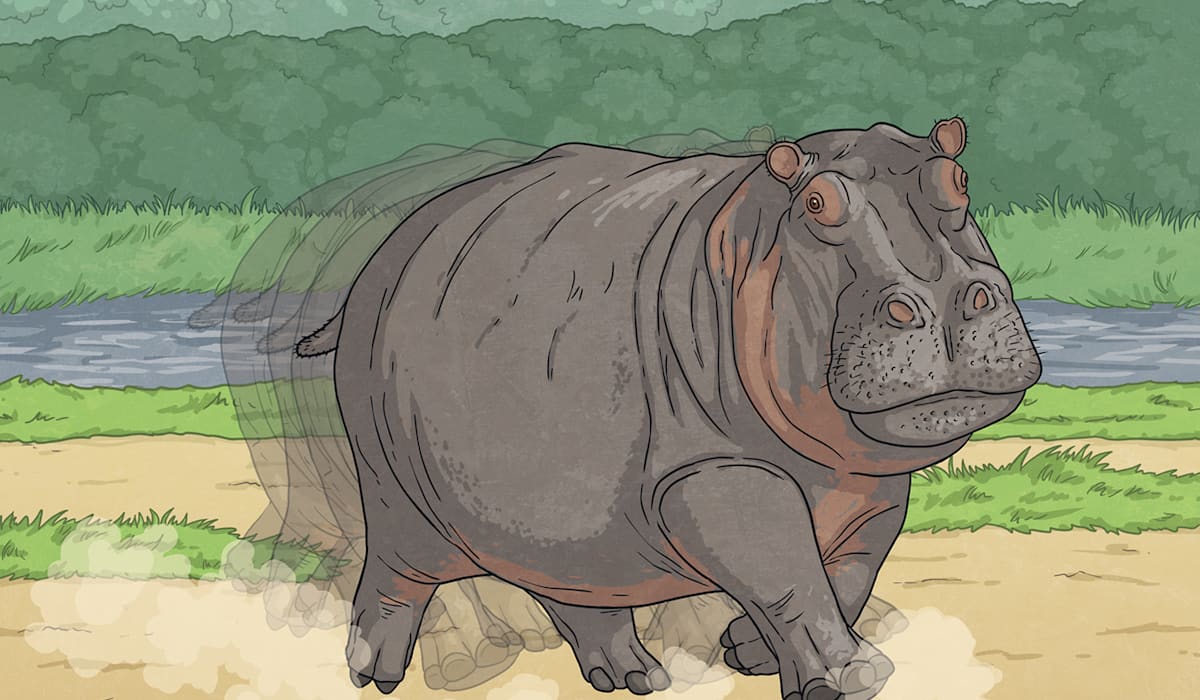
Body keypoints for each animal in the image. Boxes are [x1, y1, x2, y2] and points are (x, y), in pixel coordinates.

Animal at [296, 118, 1041, 699]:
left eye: (959, 182)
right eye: (818, 201)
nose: (949, 297)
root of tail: (383, 255)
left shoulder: (873, 485)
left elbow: (849, 570)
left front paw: (748, 651)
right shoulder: (712, 471)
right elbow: (784, 566)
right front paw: (854, 679)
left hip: (559, 520)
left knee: (577, 587)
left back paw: (636, 679)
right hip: (390, 481)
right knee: (394, 573)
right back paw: (372, 676)